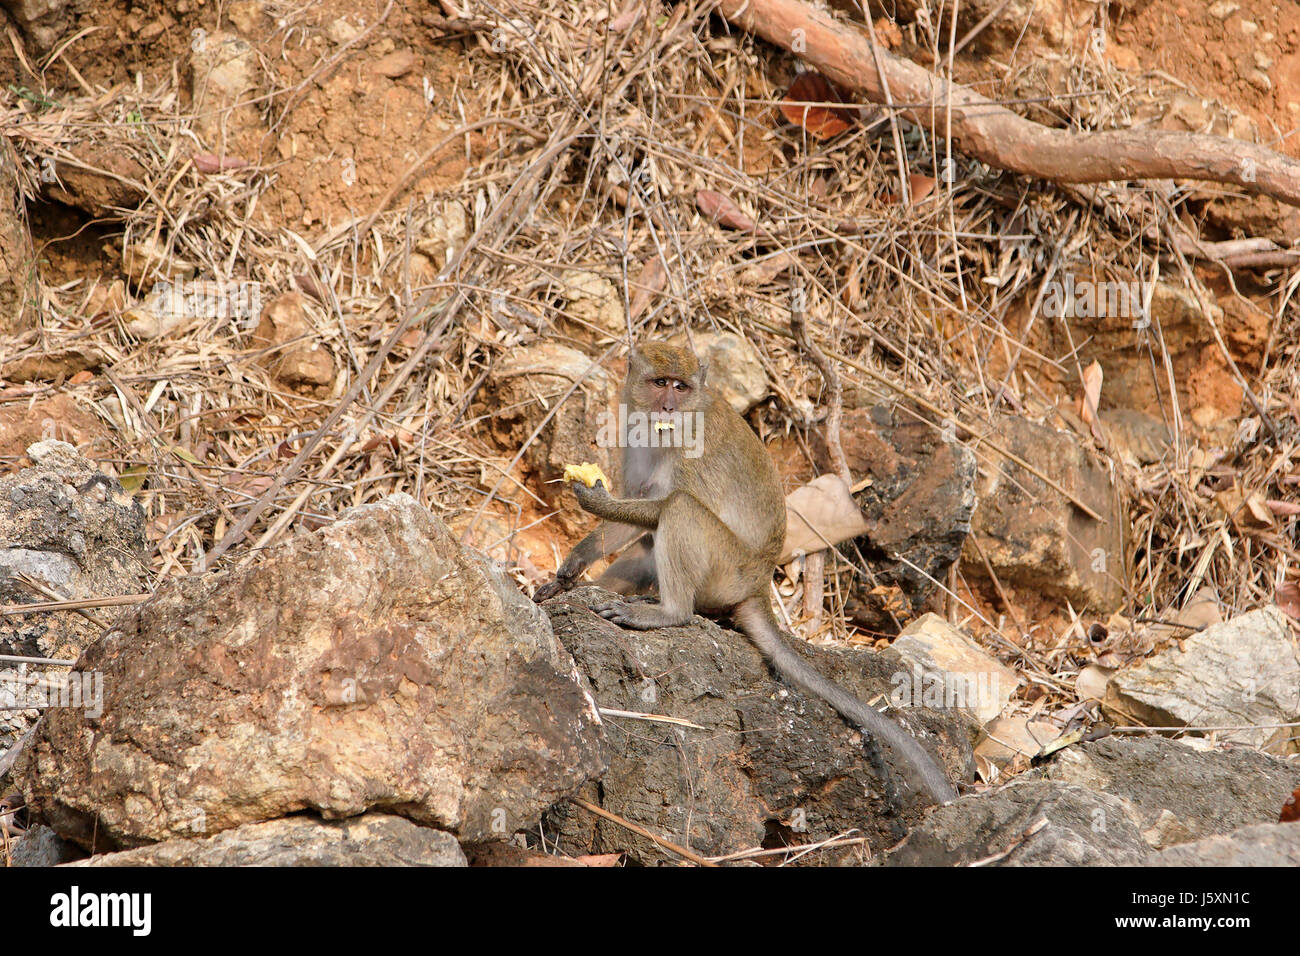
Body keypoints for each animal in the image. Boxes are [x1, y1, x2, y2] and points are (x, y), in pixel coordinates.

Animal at [535, 343, 957, 805]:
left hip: (727, 569)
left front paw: (596, 501)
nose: (668, 407)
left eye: (681, 387)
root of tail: (759, 582)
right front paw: (575, 564)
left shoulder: (692, 446)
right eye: (660, 382)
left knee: (680, 509)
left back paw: (667, 613)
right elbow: (635, 508)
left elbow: (663, 503)